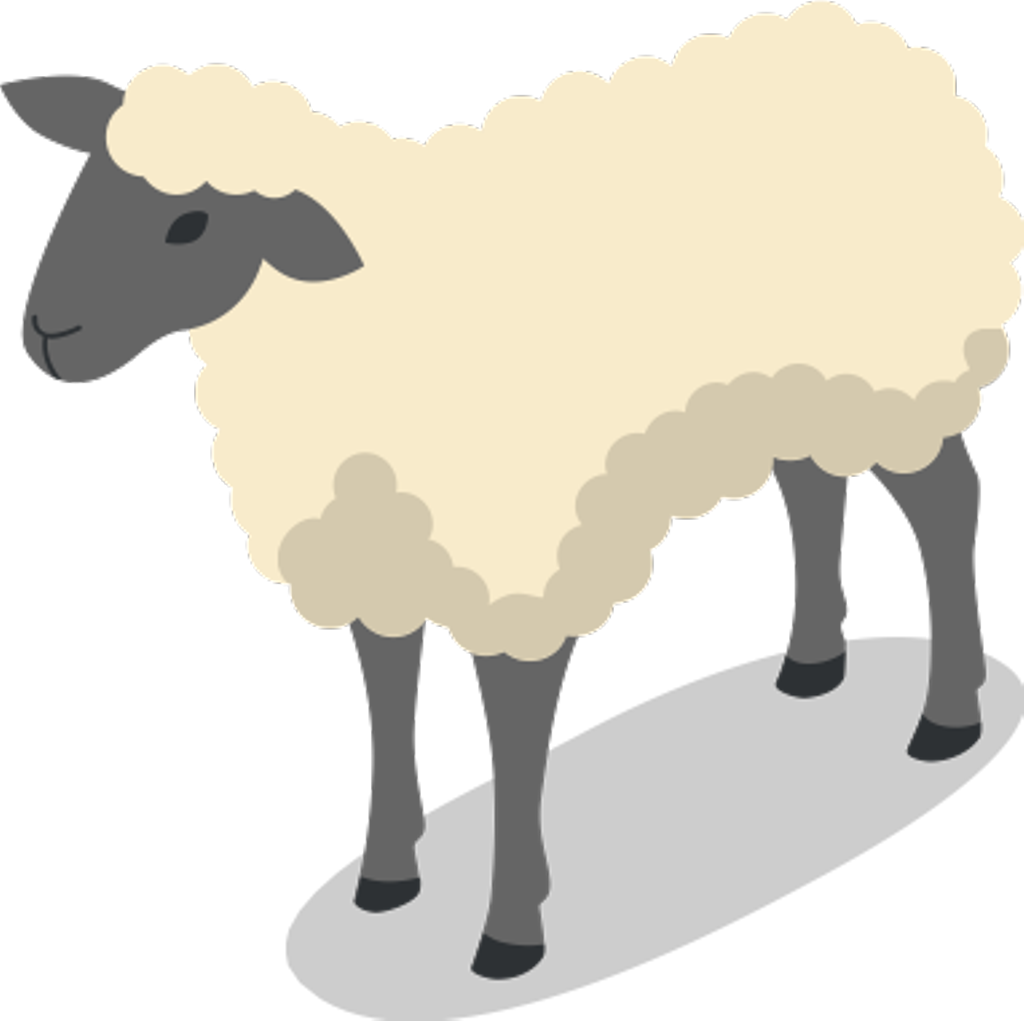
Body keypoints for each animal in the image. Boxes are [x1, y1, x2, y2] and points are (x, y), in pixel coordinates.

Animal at [4, 0, 1020, 982]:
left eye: (192, 223)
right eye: (88, 181)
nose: (47, 334)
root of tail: (858, 42)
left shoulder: (519, 549)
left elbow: (515, 728)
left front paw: (510, 926)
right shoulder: (377, 539)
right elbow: (388, 691)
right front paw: (387, 870)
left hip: (900, 377)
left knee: (945, 504)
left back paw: (948, 713)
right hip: (800, 390)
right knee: (811, 486)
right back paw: (811, 658)